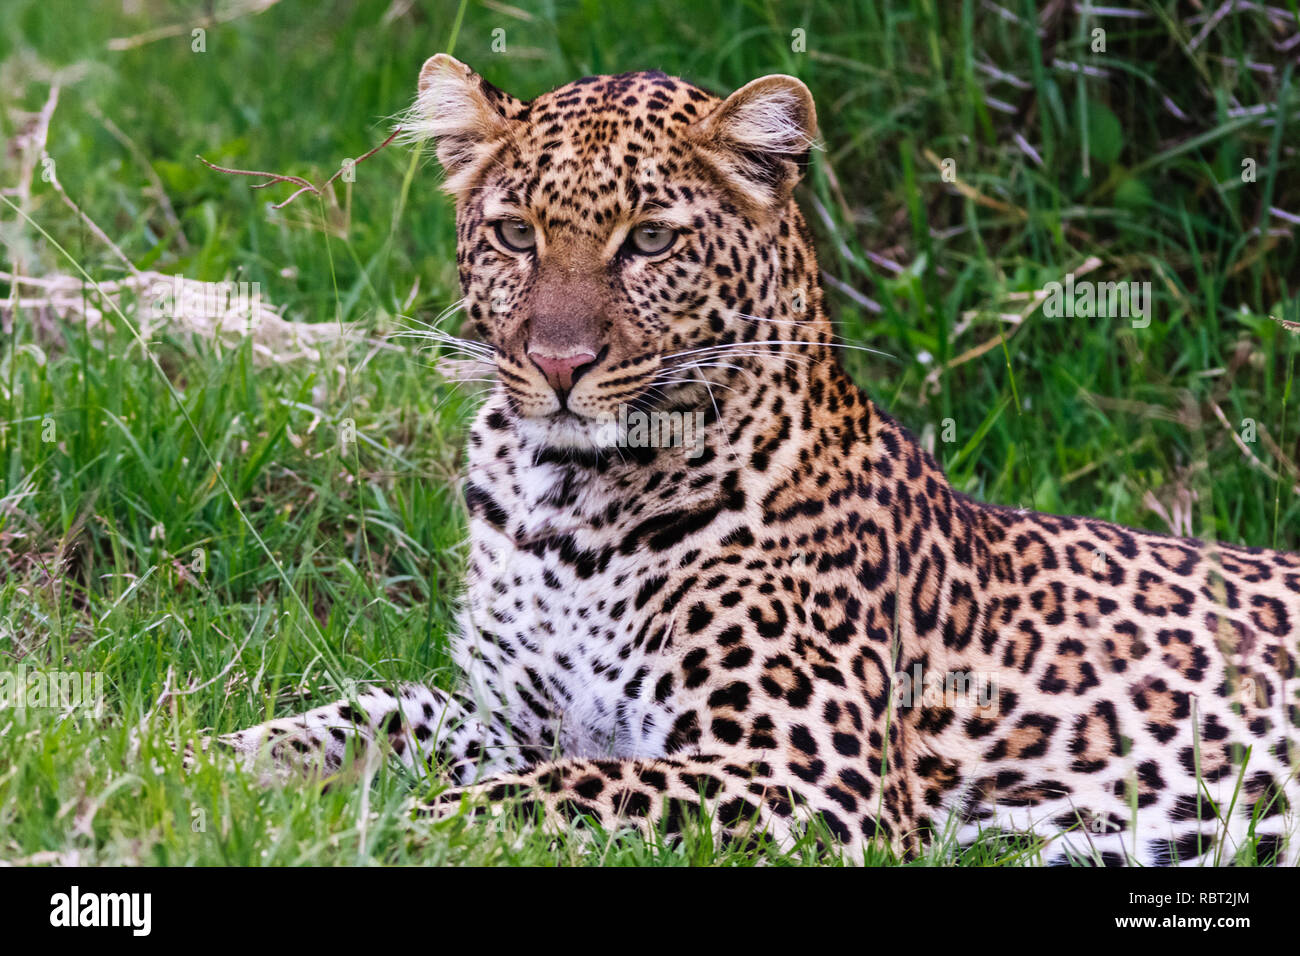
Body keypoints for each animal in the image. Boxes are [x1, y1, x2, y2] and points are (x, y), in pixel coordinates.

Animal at [207, 55, 1300, 866]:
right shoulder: (515, 713)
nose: (556, 363)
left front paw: (403, 826)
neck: (562, 502)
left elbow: (559, 791)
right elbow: (382, 709)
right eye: (514, 233)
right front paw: (215, 757)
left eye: (650, 241)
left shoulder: (810, 777)